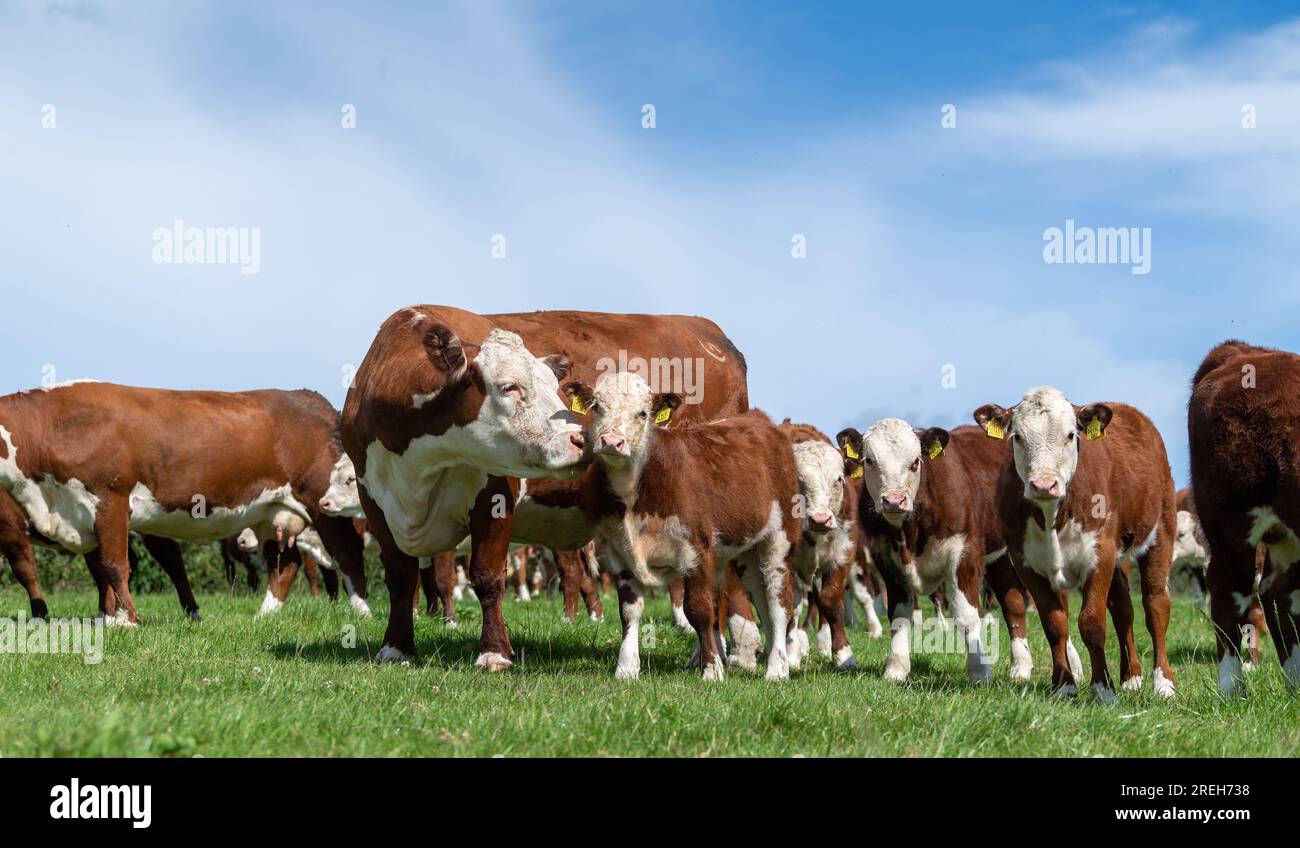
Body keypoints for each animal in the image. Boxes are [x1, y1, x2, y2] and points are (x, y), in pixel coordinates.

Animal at [0, 382, 368, 625]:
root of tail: (308, 397)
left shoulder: (109, 500)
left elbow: (113, 565)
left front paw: (126, 620)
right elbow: (104, 567)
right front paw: (110, 618)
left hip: (324, 503)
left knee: (347, 552)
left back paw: (362, 611)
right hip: (272, 511)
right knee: (284, 562)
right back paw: (264, 615)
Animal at [340, 306, 749, 669]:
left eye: (555, 387)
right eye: (509, 387)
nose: (584, 439)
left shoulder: (496, 493)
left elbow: (486, 577)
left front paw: (494, 653)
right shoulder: (375, 501)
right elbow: (400, 577)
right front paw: (396, 648)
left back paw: (728, 653)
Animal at [560, 372, 799, 680]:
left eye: (643, 413)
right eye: (597, 407)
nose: (612, 441)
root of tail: (760, 420)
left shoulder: (697, 550)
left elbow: (699, 610)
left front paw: (712, 671)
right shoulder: (618, 552)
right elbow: (629, 611)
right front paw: (626, 669)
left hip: (780, 540)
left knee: (778, 602)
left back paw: (776, 669)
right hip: (748, 549)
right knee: (762, 598)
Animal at [835, 420, 1037, 684]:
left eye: (915, 462)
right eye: (869, 460)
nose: (893, 500)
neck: (910, 533)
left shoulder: (965, 553)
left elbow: (966, 615)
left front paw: (979, 670)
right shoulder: (887, 561)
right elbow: (899, 615)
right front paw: (896, 668)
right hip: (998, 558)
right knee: (1013, 602)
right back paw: (1021, 666)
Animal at [974, 387, 1177, 700]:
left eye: (1071, 435)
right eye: (1017, 436)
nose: (1044, 484)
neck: (1052, 516)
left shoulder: (1100, 552)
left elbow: (1092, 622)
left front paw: (1102, 689)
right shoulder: (1026, 562)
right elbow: (1054, 623)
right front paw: (1064, 686)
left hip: (1161, 529)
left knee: (1156, 606)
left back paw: (1163, 682)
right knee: (1123, 608)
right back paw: (1131, 677)